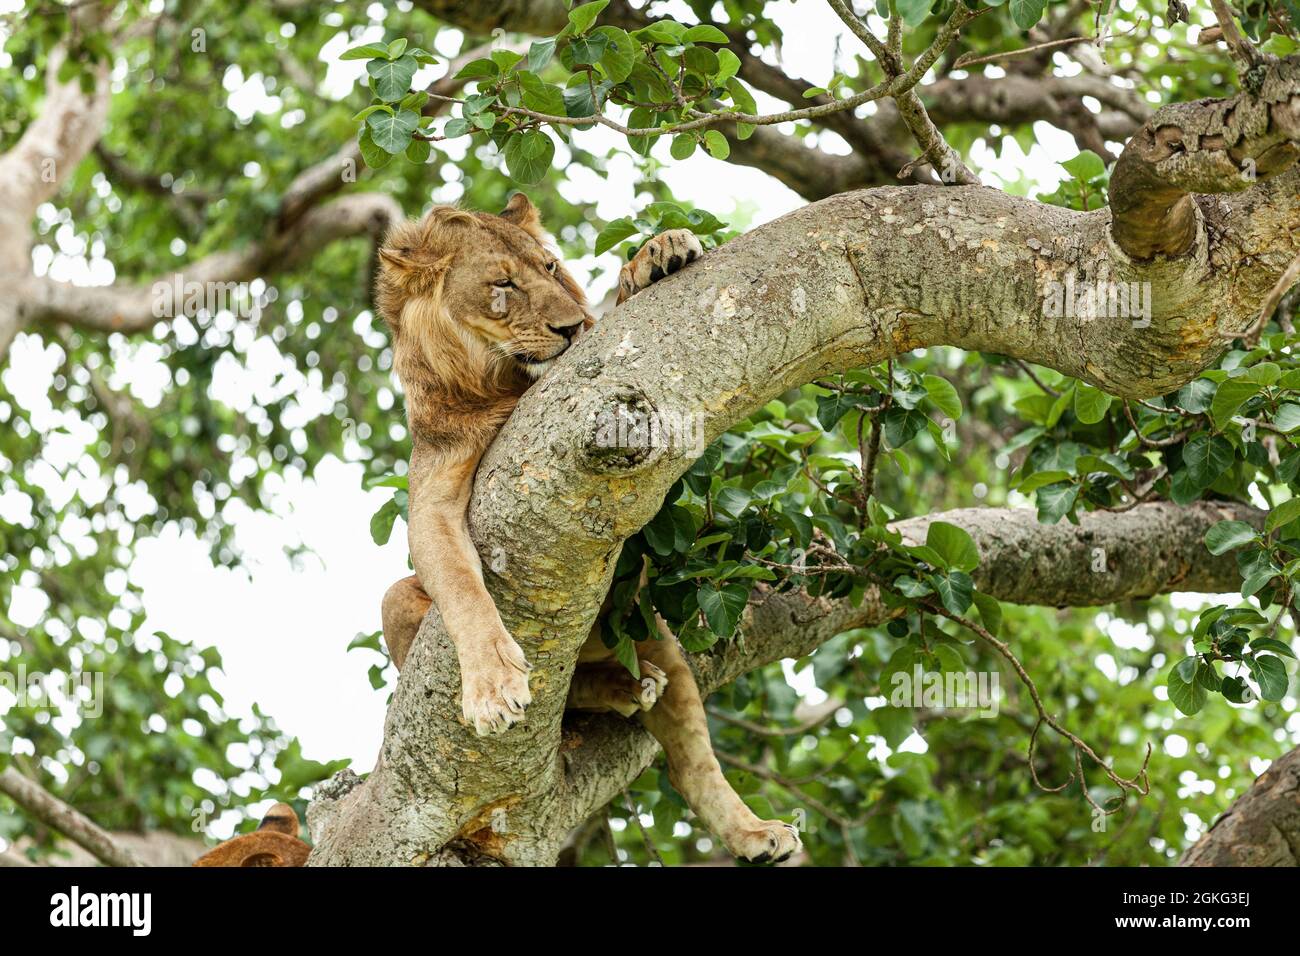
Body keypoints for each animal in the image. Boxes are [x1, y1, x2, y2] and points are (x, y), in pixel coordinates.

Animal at [374, 194, 801, 865]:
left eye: (550, 267)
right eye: (503, 285)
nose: (571, 327)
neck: (499, 380)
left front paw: (655, 255)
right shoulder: (432, 500)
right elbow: (462, 589)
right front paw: (492, 686)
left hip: (659, 639)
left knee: (693, 765)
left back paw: (752, 830)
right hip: (398, 600)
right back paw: (621, 687)